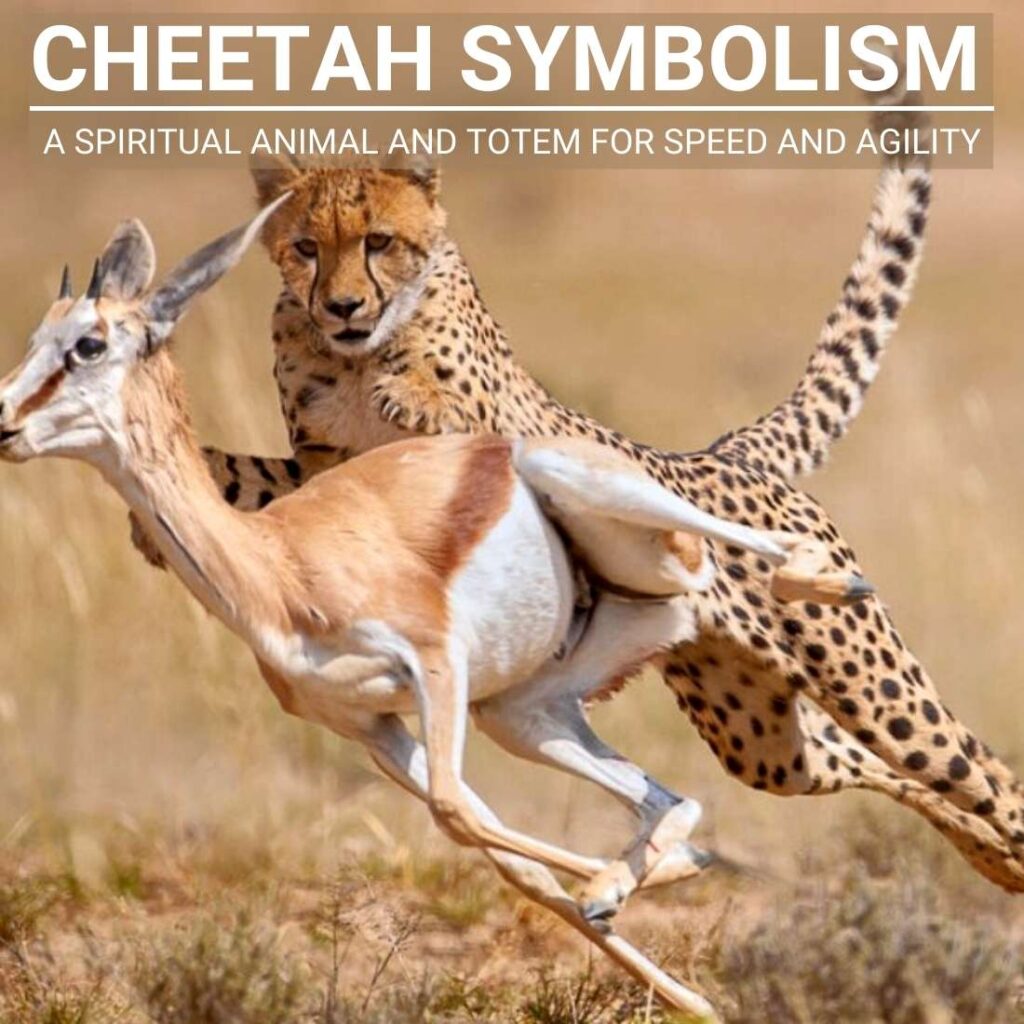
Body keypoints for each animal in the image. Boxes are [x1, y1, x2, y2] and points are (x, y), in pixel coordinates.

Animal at [143, 154, 1024, 896]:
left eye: (378, 242)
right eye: (305, 246)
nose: (344, 305)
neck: (360, 354)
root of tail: (725, 452)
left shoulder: (496, 436)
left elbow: (453, 422)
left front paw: (411, 396)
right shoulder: (320, 467)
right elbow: (252, 481)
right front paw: (162, 505)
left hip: (871, 685)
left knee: (980, 768)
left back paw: (1005, 851)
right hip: (760, 737)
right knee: (871, 767)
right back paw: (993, 860)